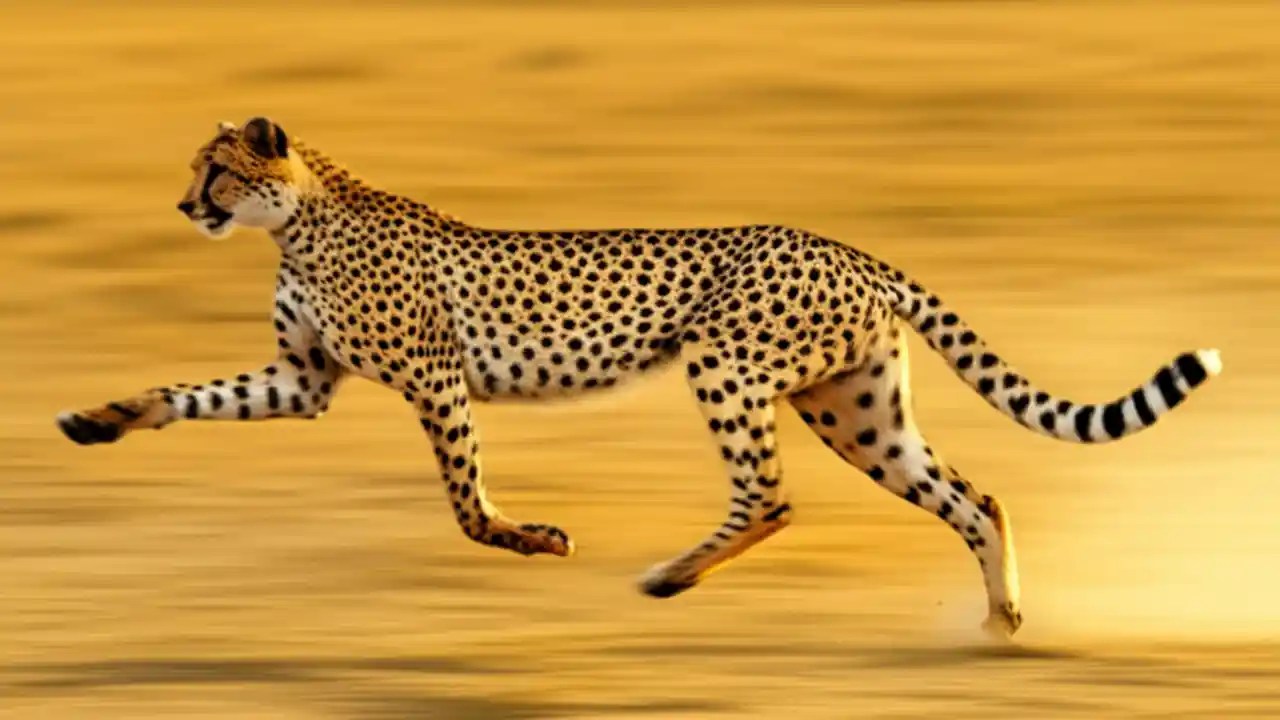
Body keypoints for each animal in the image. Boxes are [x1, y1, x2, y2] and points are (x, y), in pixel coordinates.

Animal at [56, 117, 1223, 637]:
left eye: (216, 169)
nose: (184, 206)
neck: (298, 219)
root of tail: (840, 243)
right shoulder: (304, 382)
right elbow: (192, 395)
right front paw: (101, 418)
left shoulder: (435, 380)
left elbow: (464, 503)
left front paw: (530, 538)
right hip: (857, 411)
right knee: (974, 496)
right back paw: (999, 624)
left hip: (727, 365)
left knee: (771, 497)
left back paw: (669, 577)